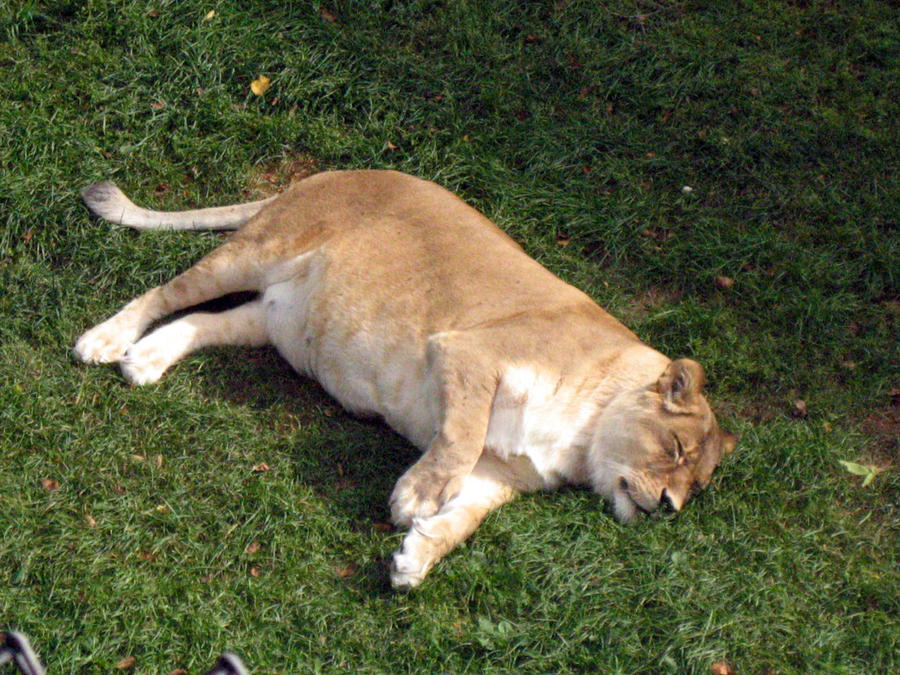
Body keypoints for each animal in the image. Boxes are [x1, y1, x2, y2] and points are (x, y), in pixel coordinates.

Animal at [74, 170, 736, 589]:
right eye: (676, 449)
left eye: (698, 486)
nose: (671, 508)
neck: (581, 442)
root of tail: (330, 171)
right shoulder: (467, 351)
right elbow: (460, 437)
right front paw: (415, 497)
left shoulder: (499, 477)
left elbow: (464, 520)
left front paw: (416, 558)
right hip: (256, 251)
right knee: (166, 293)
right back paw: (104, 341)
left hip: (274, 316)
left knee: (202, 323)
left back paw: (145, 361)